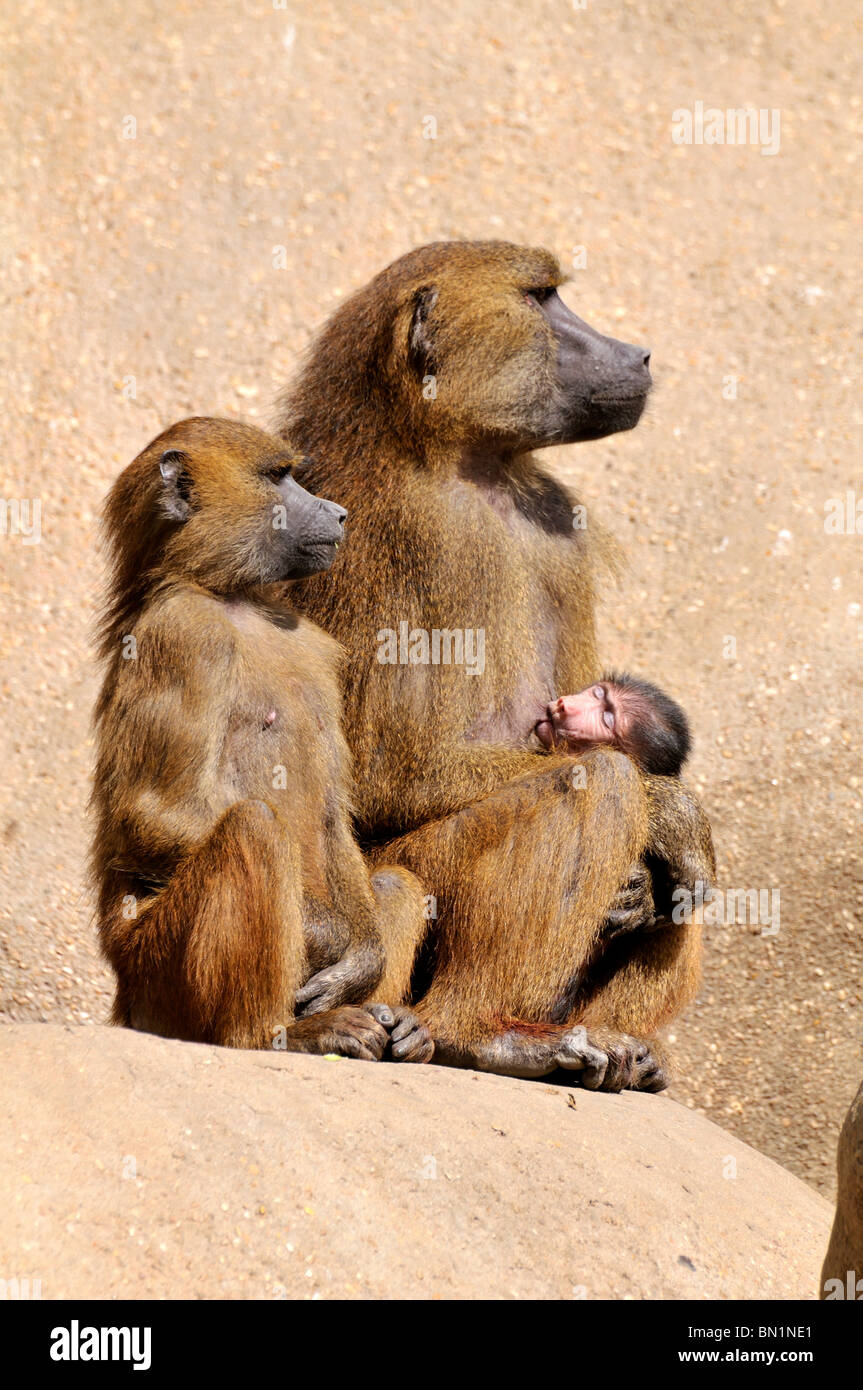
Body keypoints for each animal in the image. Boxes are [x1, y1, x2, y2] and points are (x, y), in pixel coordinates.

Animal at [90, 416, 433, 1062]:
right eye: (278, 477)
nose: (339, 513)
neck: (235, 599)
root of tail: (126, 1000)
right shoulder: (183, 637)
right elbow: (149, 814)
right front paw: (324, 937)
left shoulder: (317, 652)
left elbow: (332, 816)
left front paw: (360, 960)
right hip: (158, 970)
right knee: (254, 828)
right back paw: (281, 1032)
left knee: (394, 882)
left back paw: (397, 1025)